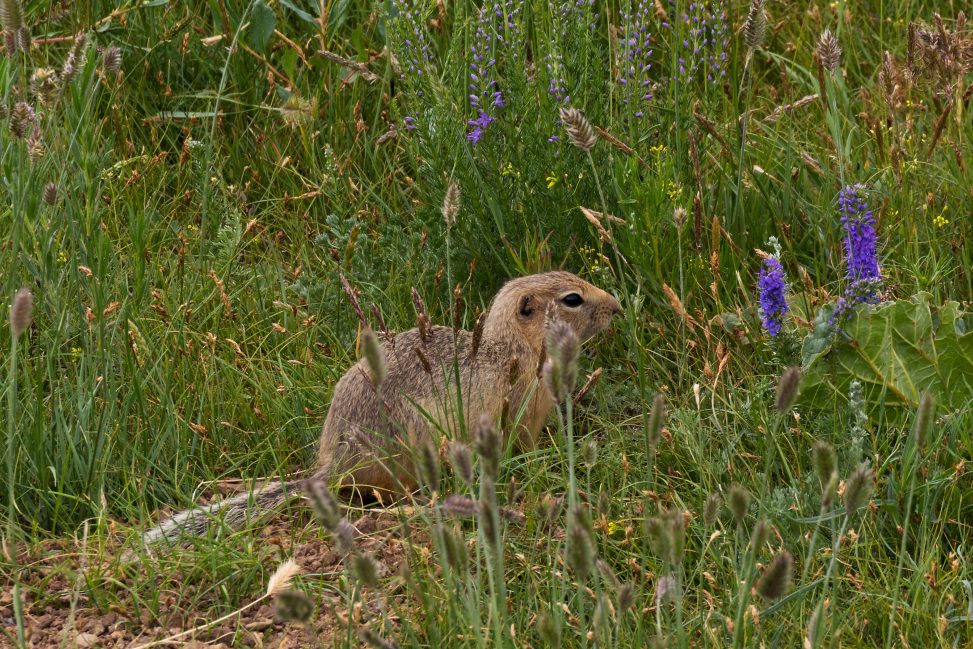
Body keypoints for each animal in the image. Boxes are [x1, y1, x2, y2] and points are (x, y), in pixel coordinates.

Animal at [142, 271, 621, 545]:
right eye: (573, 299)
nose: (617, 306)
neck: (511, 346)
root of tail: (330, 465)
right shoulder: (522, 405)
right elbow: (524, 441)